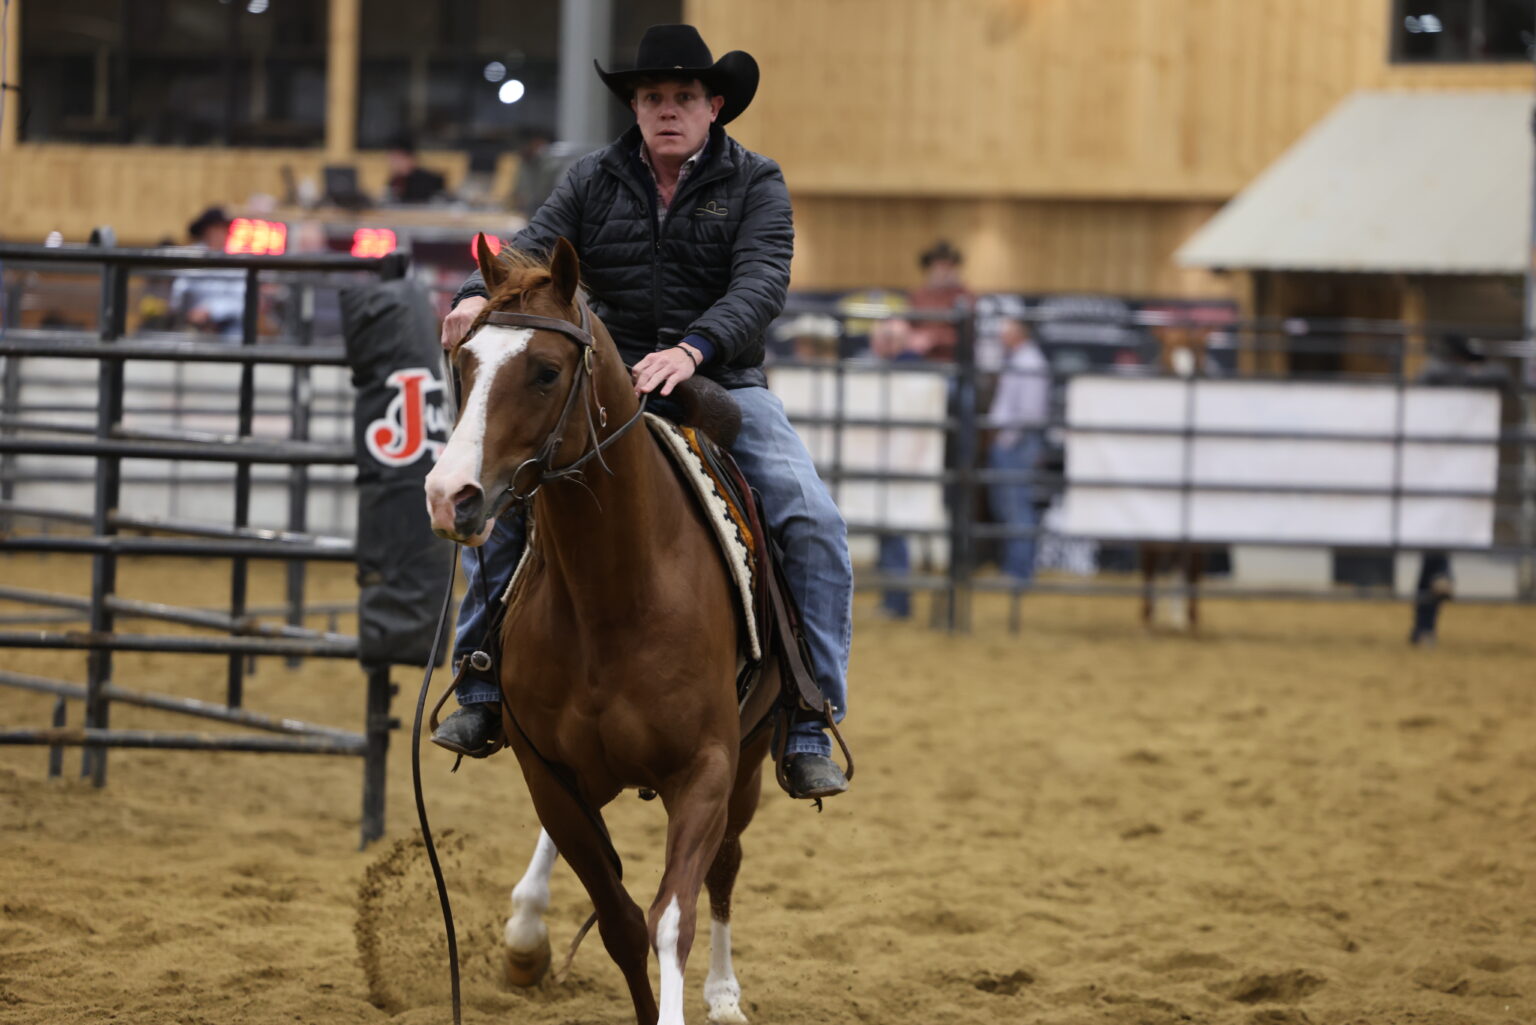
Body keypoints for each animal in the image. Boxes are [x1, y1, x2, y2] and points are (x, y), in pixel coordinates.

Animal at [424, 236, 782, 1025]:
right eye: (463, 363)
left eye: (546, 371)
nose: (449, 495)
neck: (613, 598)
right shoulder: (548, 772)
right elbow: (619, 918)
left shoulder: (707, 767)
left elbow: (672, 913)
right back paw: (526, 932)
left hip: (753, 754)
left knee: (726, 864)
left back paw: (725, 993)